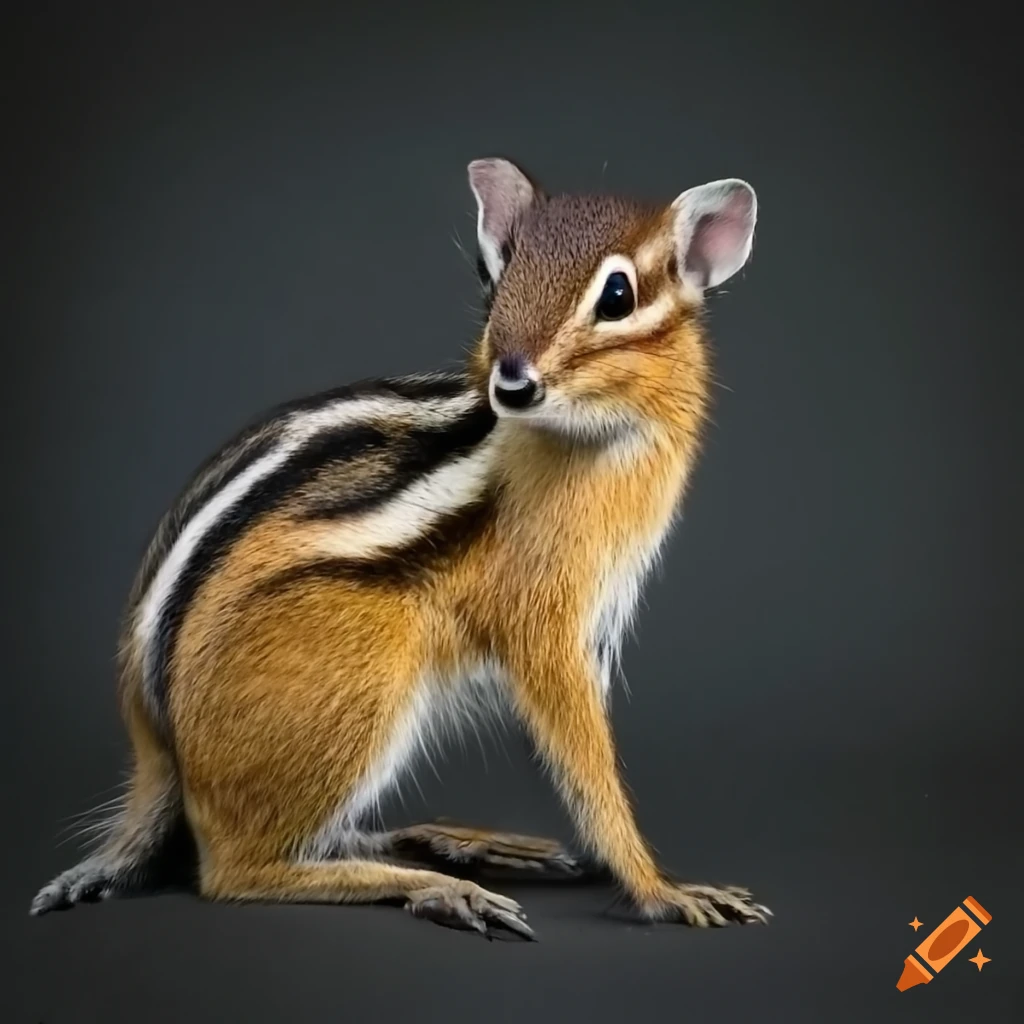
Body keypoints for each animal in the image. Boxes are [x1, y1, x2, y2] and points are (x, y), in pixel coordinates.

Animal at [31, 157, 768, 940]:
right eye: (497, 276)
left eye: (619, 295)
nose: (512, 379)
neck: (588, 441)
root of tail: (155, 743)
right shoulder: (544, 622)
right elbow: (581, 751)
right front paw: (660, 888)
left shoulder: (597, 623)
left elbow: (582, 755)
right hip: (367, 676)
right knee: (238, 870)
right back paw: (440, 886)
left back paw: (457, 844)